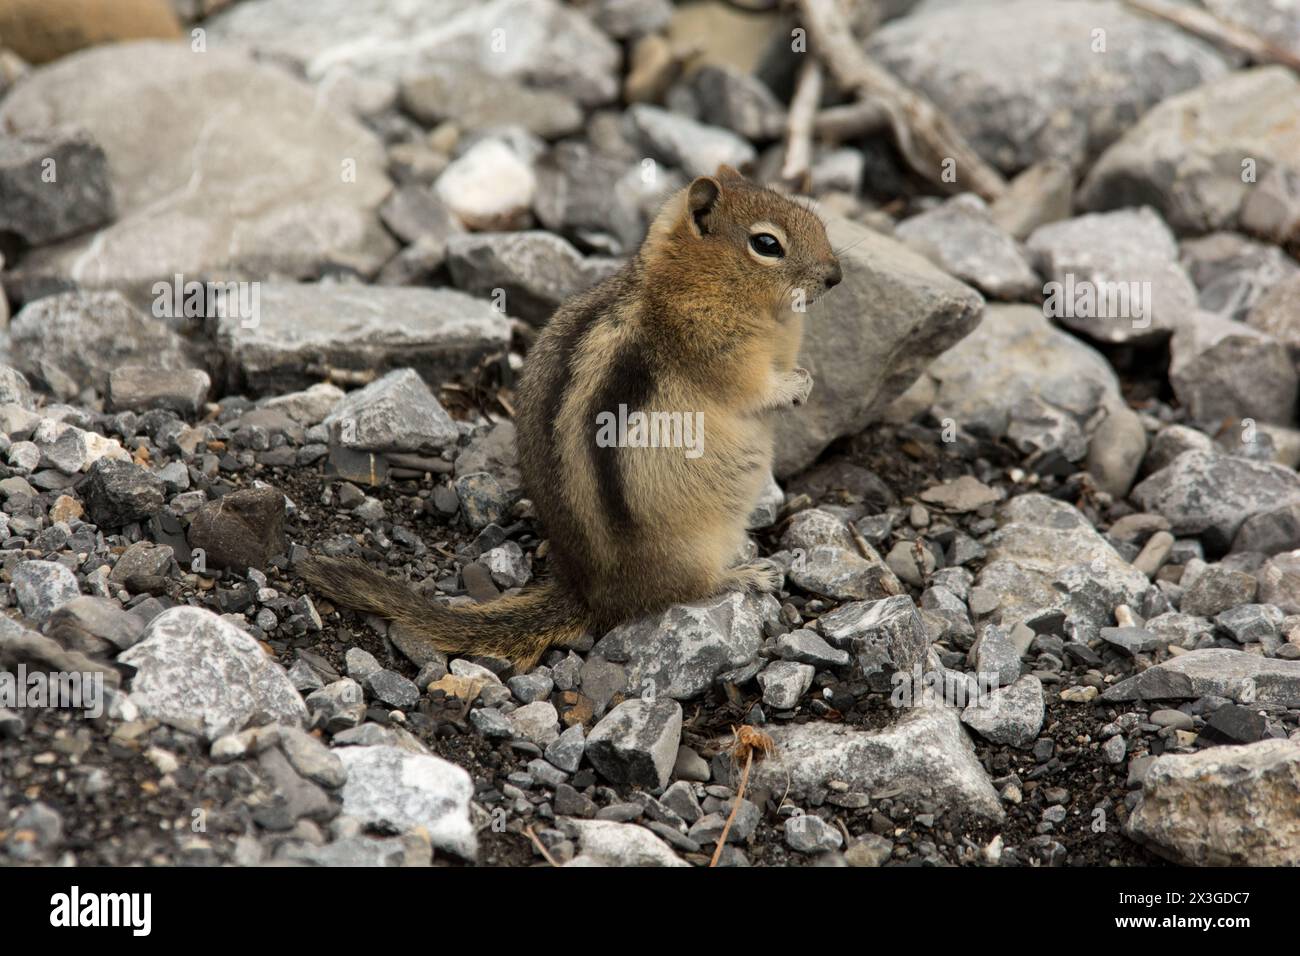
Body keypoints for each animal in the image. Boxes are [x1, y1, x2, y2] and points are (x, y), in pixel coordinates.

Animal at [299, 165, 842, 671]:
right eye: (767, 244)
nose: (836, 276)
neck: (690, 281)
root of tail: (591, 593)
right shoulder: (717, 350)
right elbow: (754, 390)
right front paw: (796, 386)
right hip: (694, 549)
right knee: (684, 592)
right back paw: (746, 575)